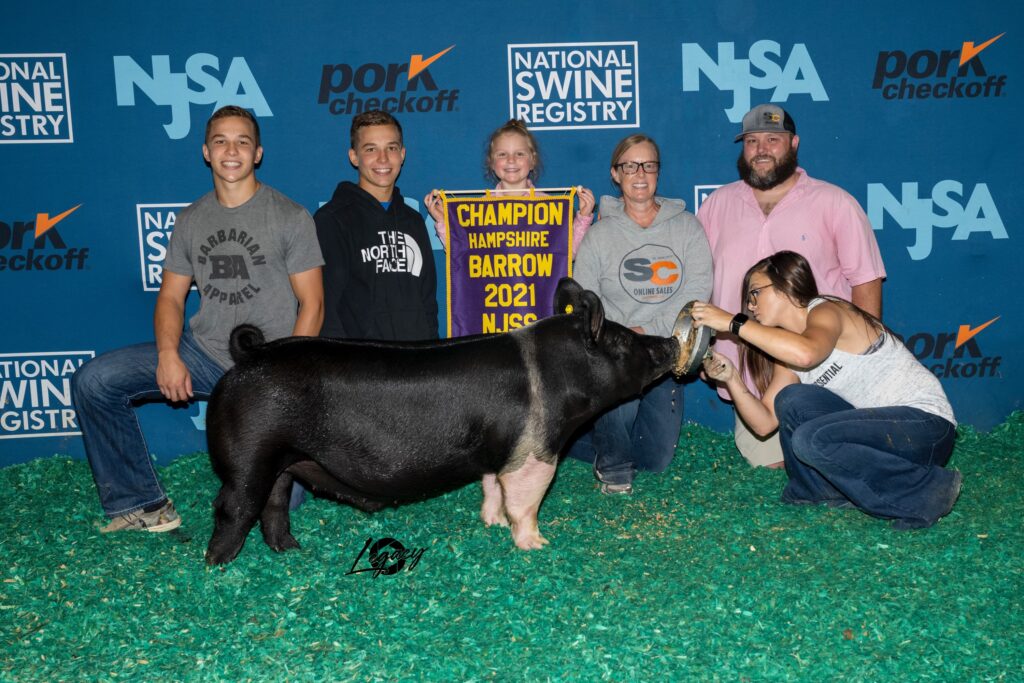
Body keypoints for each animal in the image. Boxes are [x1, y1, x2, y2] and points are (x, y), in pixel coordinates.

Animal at [204, 278, 682, 565]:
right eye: (623, 342)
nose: (669, 344)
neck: (562, 375)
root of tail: (248, 356)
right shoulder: (536, 451)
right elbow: (525, 500)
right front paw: (537, 544)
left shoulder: (497, 451)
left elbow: (492, 488)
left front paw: (492, 523)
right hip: (249, 454)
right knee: (233, 507)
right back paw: (218, 566)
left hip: (282, 460)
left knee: (274, 503)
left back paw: (291, 551)